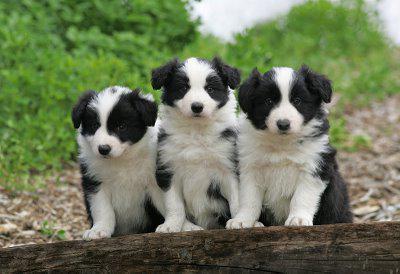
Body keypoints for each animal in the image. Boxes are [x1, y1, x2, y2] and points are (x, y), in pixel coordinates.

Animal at [72, 86, 166, 240]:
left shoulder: (153, 181)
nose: (103, 149)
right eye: (94, 126)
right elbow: (103, 209)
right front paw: (99, 230)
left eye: (122, 126)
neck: (122, 160)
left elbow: (166, 202)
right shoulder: (96, 182)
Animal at [152, 57, 242, 231]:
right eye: (183, 88)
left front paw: (242, 221)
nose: (197, 106)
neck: (196, 130)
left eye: (210, 89)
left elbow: (237, 198)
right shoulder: (169, 168)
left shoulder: (229, 167)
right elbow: (174, 204)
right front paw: (171, 226)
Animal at [227, 65, 352, 228]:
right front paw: (242, 220)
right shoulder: (250, 168)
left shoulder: (315, 166)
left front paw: (298, 219)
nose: (283, 124)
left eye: (297, 100)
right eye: (268, 101)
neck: (282, 145)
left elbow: (302, 196)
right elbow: (249, 198)